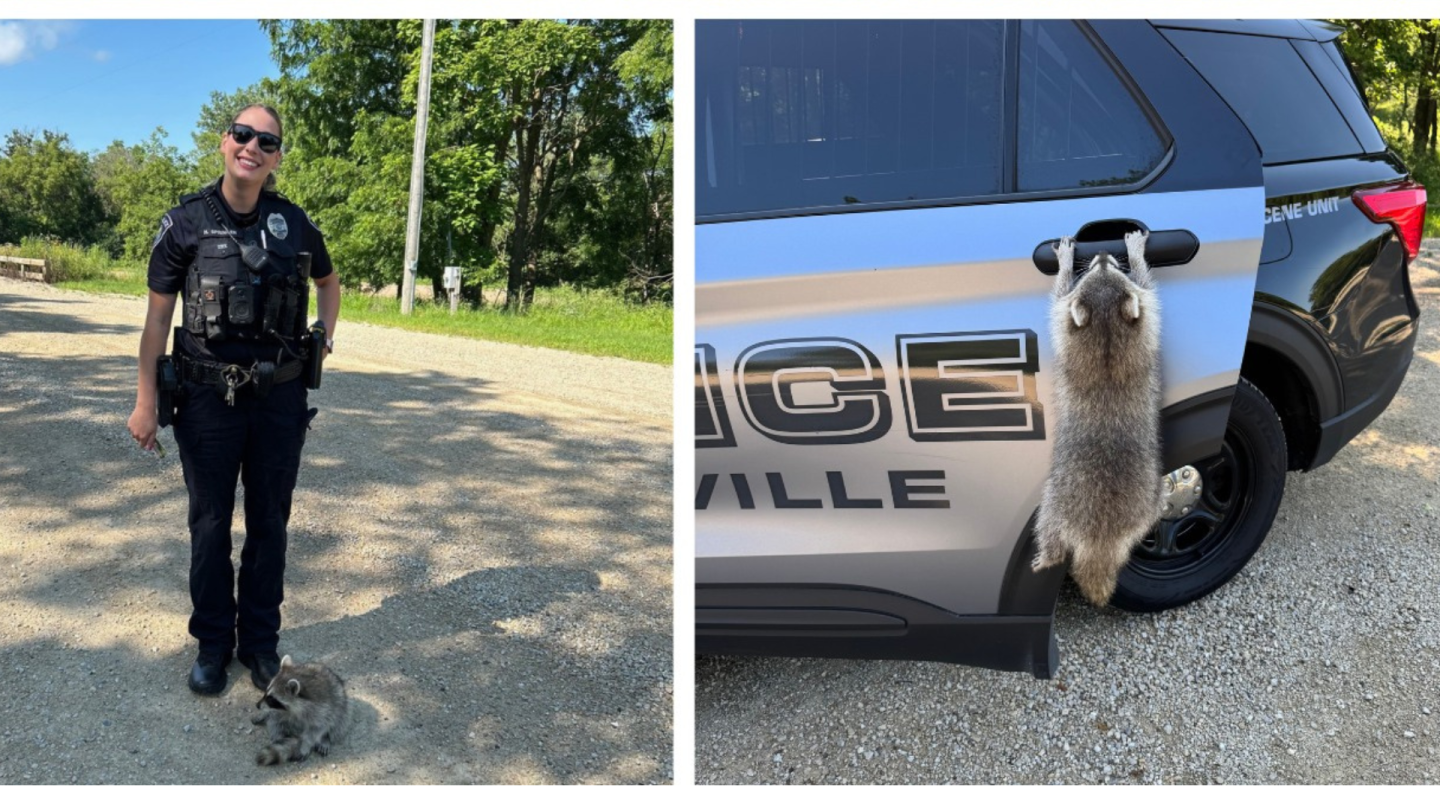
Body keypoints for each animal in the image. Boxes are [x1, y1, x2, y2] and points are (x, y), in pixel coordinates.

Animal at [1032, 230, 1164, 606]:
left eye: (1108, 268)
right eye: (1097, 268)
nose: (1103, 253)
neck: (1106, 327)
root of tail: (1100, 539)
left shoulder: (1142, 319)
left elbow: (1060, 295)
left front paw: (1135, 256)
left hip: (1056, 503)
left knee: (1047, 530)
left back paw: (1046, 556)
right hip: (1139, 509)